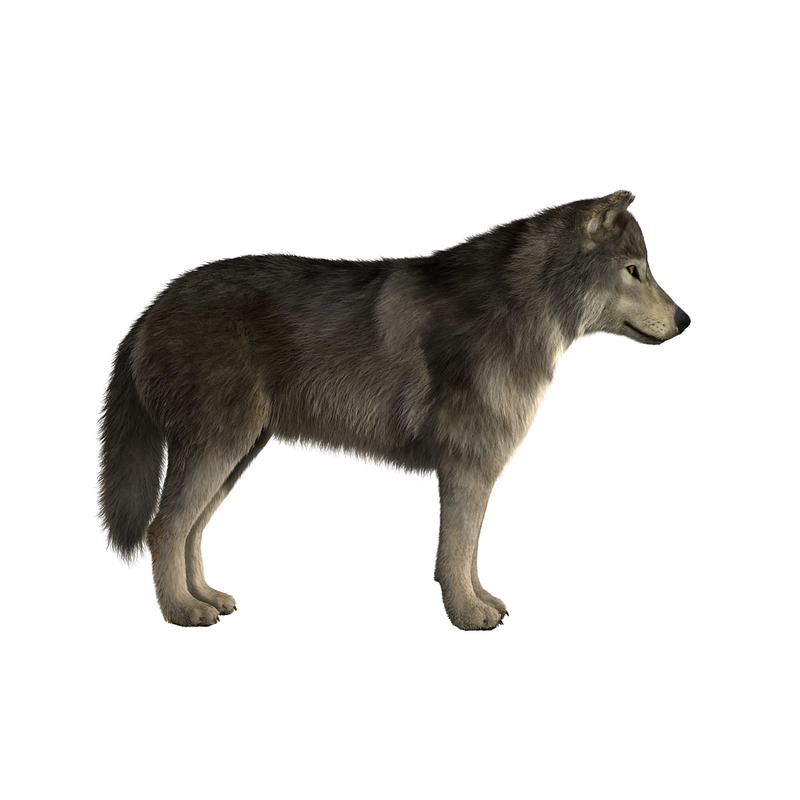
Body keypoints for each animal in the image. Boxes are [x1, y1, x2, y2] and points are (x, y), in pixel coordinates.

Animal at [99, 190, 690, 630]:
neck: (521, 308)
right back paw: (182, 612)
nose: (685, 320)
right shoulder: (466, 464)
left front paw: (480, 600)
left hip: (236, 453)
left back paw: (206, 597)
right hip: (218, 447)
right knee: (165, 528)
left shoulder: (475, 470)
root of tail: (151, 308)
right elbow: (455, 551)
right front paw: (466, 614)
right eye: (634, 270)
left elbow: (469, 550)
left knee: (191, 528)